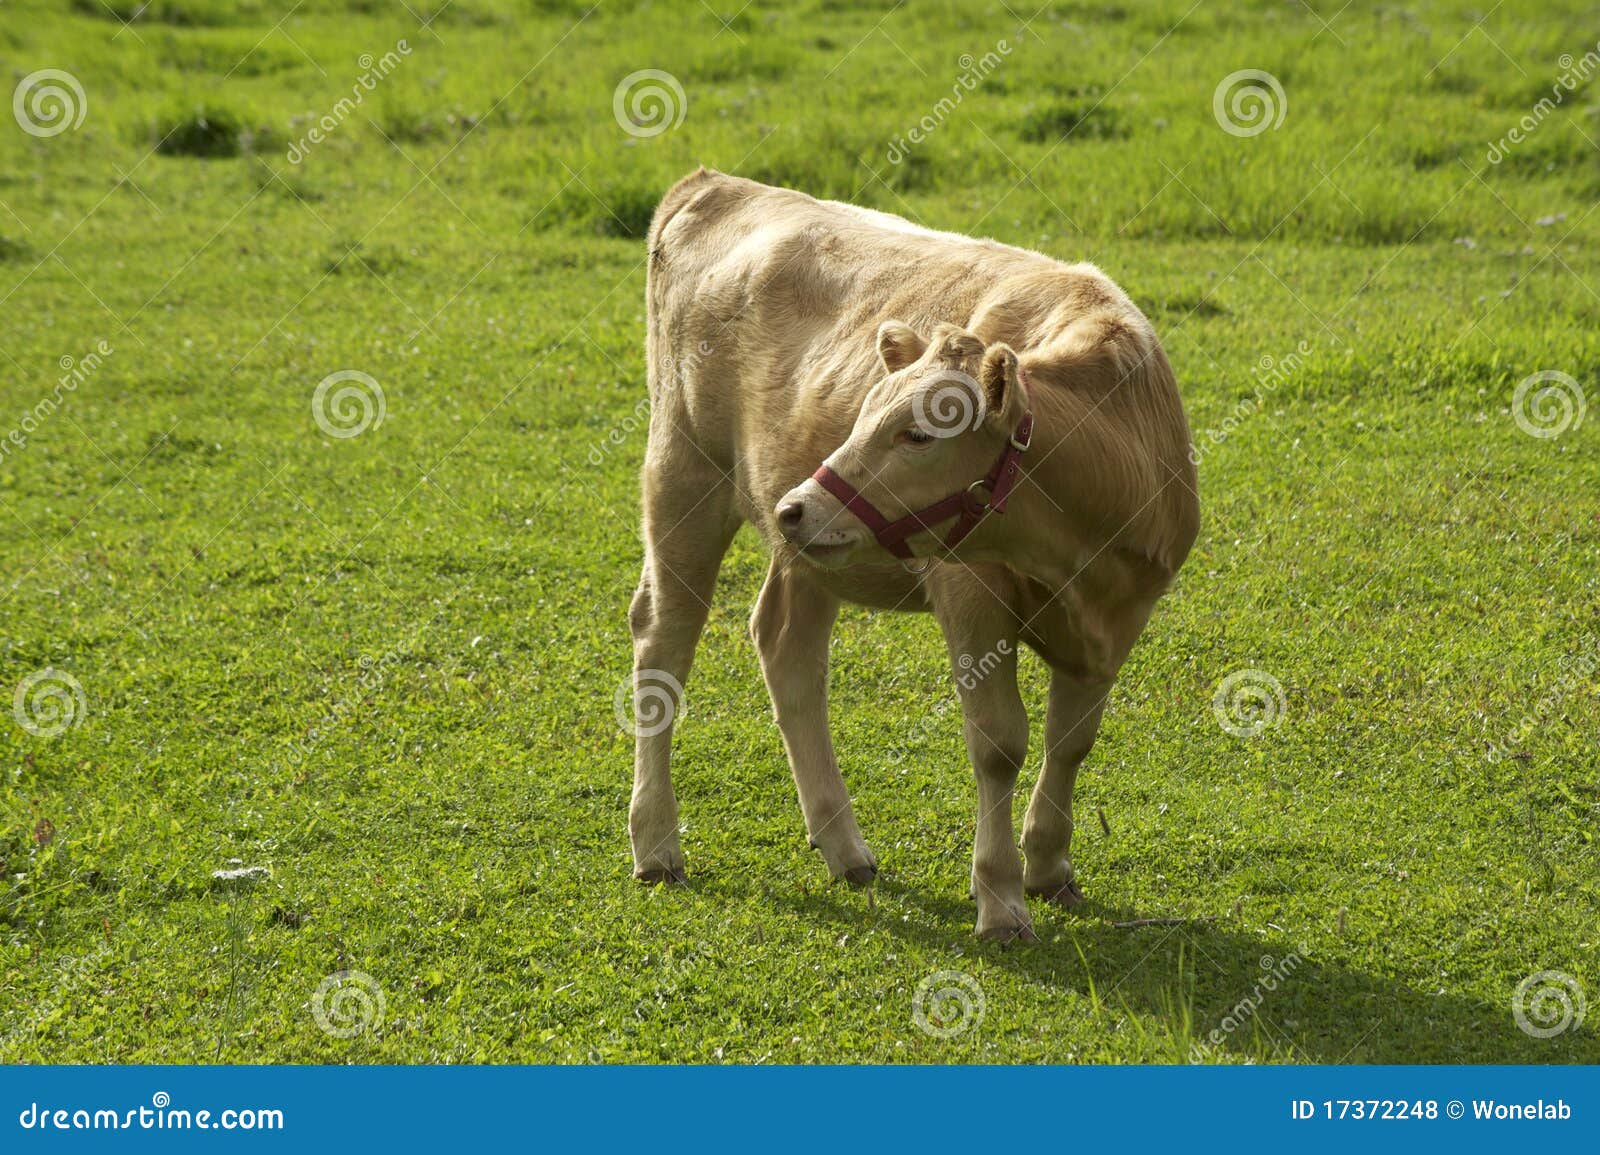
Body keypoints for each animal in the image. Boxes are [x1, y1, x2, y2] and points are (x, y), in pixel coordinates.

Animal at [627, 168, 1198, 940]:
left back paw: (843, 845)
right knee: (664, 641)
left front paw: (1050, 865)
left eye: (920, 433)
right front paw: (1001, 898)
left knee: (785, 642)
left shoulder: (1121, 618)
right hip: (683, 473)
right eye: (867, 413)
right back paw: (657, 843)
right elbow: (1000, 741)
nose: (795, 507)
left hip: (804, 547)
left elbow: (1072, 740)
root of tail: (715, 182)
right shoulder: (969, 589)